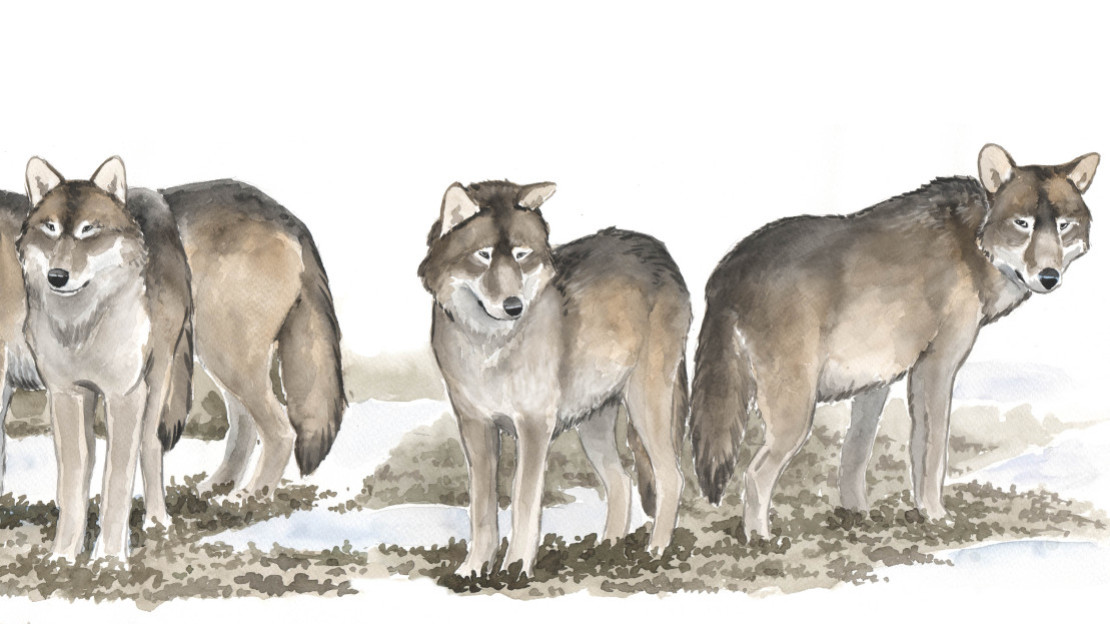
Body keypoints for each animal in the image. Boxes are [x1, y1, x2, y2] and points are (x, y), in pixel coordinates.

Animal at [0, 177, 345, 505]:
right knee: (245, 426)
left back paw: (249, 496)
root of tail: (287, 217)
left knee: (280, 432)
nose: (57, 277)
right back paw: (218, 488)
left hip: (228, 360)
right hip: (222, 363)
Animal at [19, 156, 193, 561]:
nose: (57, 276)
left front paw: (110, 560)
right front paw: (63, 556)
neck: (80, 329)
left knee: (150, 446)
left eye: (88, 231)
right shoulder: (67, 394)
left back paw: (157, 521)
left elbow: (117, 476)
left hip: (157, 380)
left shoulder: (124, 395)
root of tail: (144, 193)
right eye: (50, 228)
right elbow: (74, 476)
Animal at [419, 181, 692, 576]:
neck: (490, 347)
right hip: (594, 424)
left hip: (645, 405)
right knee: (622, 481)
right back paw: (607, 550)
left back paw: (655, 551)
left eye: (521, 255)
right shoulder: (474, 426)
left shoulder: (534, 427)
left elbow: (523, 500)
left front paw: (515, 569)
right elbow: (482, 507)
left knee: (672, 476)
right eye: (484, 255)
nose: (513, 306)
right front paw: (474, 568)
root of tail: (659, 251)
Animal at [690, 144, 1098, 537]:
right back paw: (760, 538)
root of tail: (725, 270)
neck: (971, 245)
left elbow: (855, 453)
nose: (1048, 276)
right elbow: (930, 452)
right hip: (795, 415)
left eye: (1063, 226)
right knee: (754, 474)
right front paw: (933, 516)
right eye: (1022, 224)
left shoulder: (876, 381)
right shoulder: (934, 368)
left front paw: (856, 515)